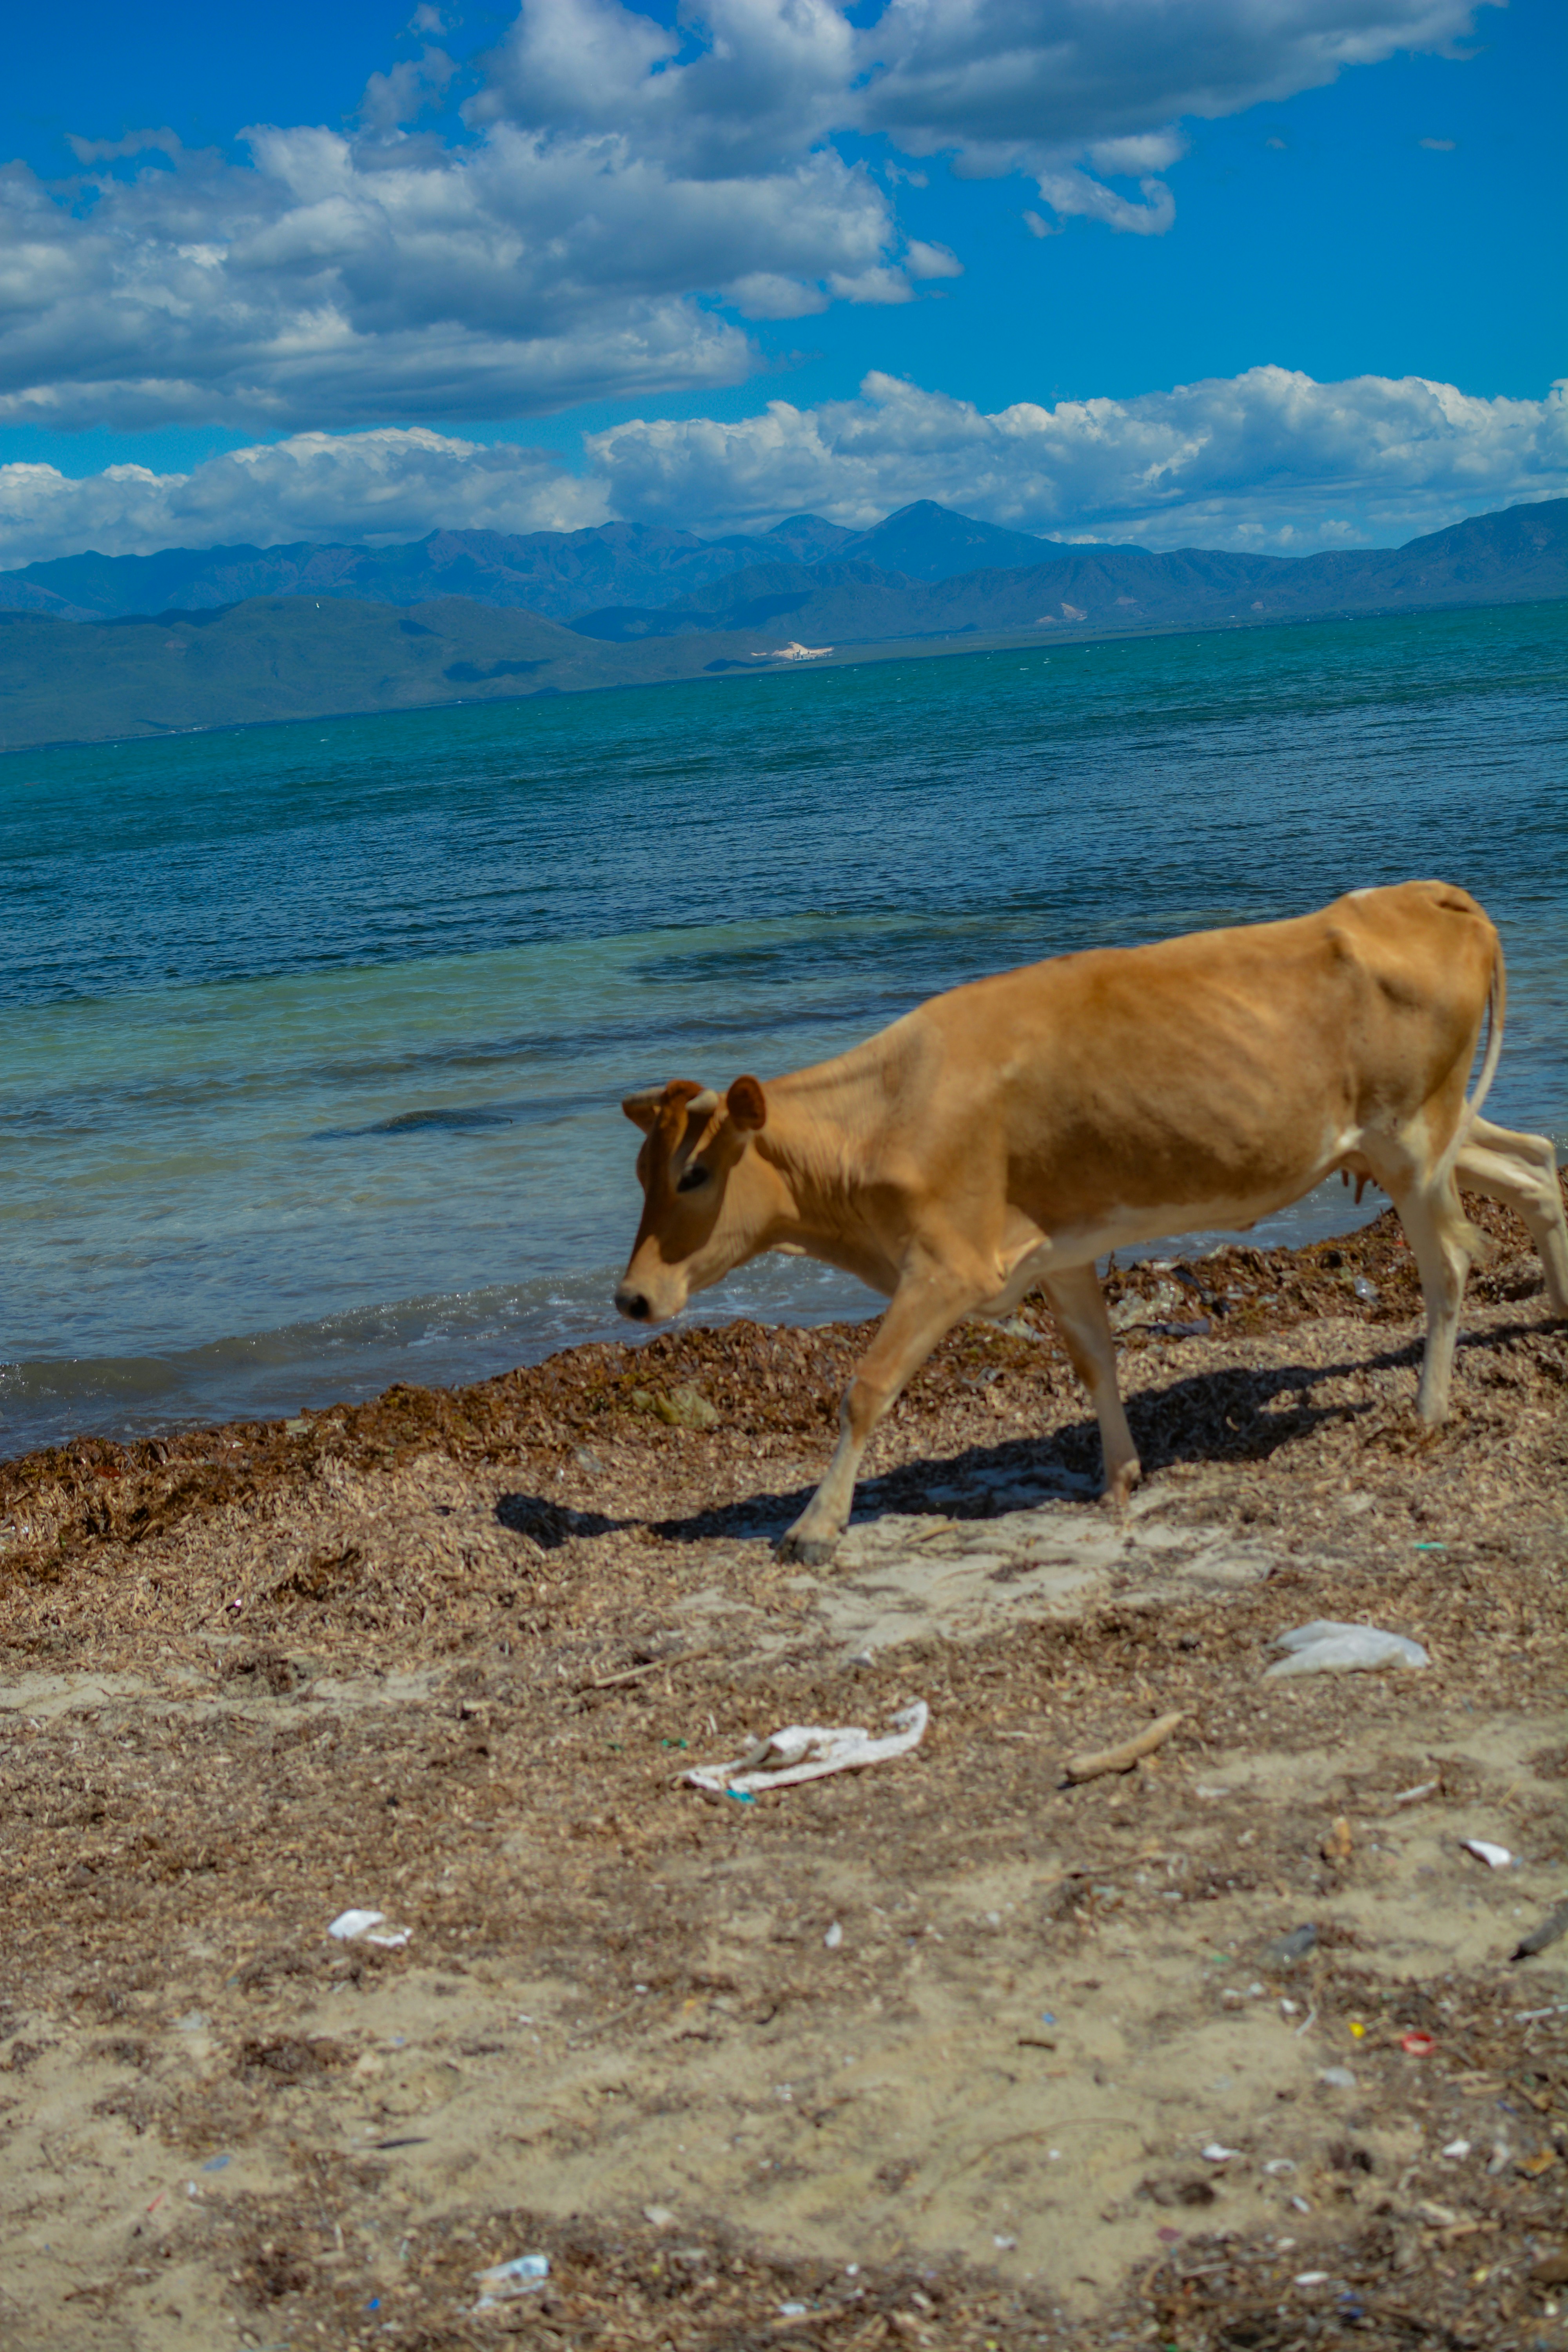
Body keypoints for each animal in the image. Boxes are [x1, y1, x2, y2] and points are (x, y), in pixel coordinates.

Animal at [614, 882, 1568, 1565]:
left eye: (694, 1174)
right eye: (639, 1171)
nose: (631, 1298)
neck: (885, 1117)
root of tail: (1419, 893)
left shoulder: (946, 1265)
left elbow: (867, 1387)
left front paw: (816, 1527)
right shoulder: (1055, 1251)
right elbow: (1095, 1362)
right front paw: (1119, 1473)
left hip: (1411, 1140)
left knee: (1450, 1262)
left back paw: (1428, 1410)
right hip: (1420, 1137)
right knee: (1534, 1163)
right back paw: (1554, 1313)